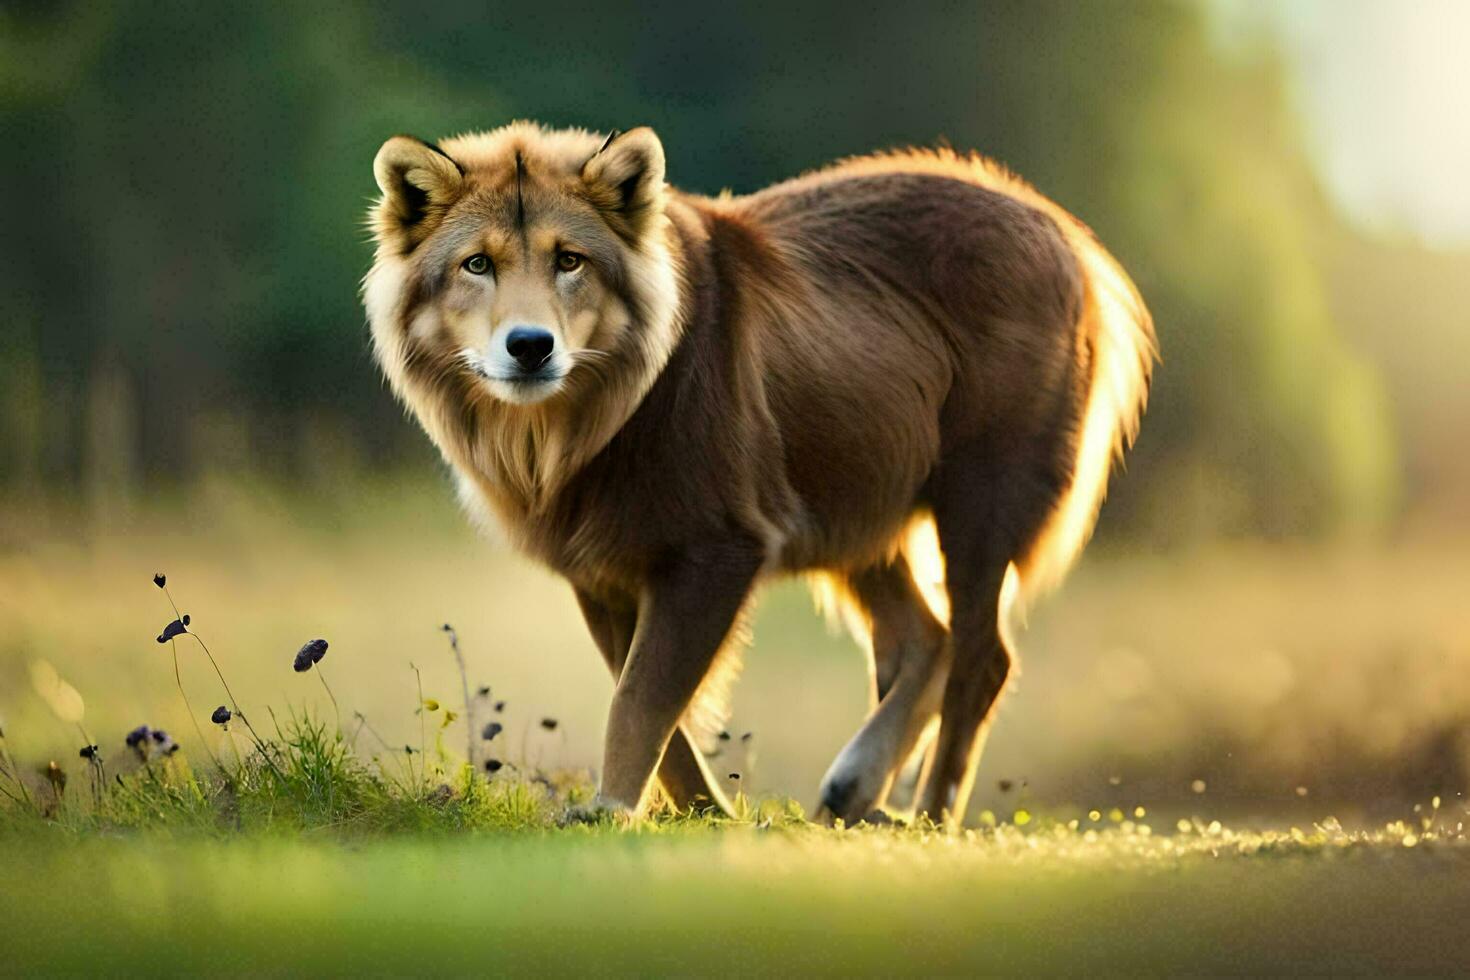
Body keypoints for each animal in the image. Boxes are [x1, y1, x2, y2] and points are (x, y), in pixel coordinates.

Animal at [363, 122, 1154, 827]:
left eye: (569, 260)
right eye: (477, 264)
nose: (530, 346)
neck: (573, 427)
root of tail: (1065, 233)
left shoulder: (719, 547)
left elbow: (642, 699)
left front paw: (613, 809)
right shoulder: (602, 569)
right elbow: (656, 706)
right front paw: (705, 813)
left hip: (979, 501)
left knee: (979, 658)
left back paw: (929, 815)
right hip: (860, 513)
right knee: (924, 641)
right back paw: (853, 789)